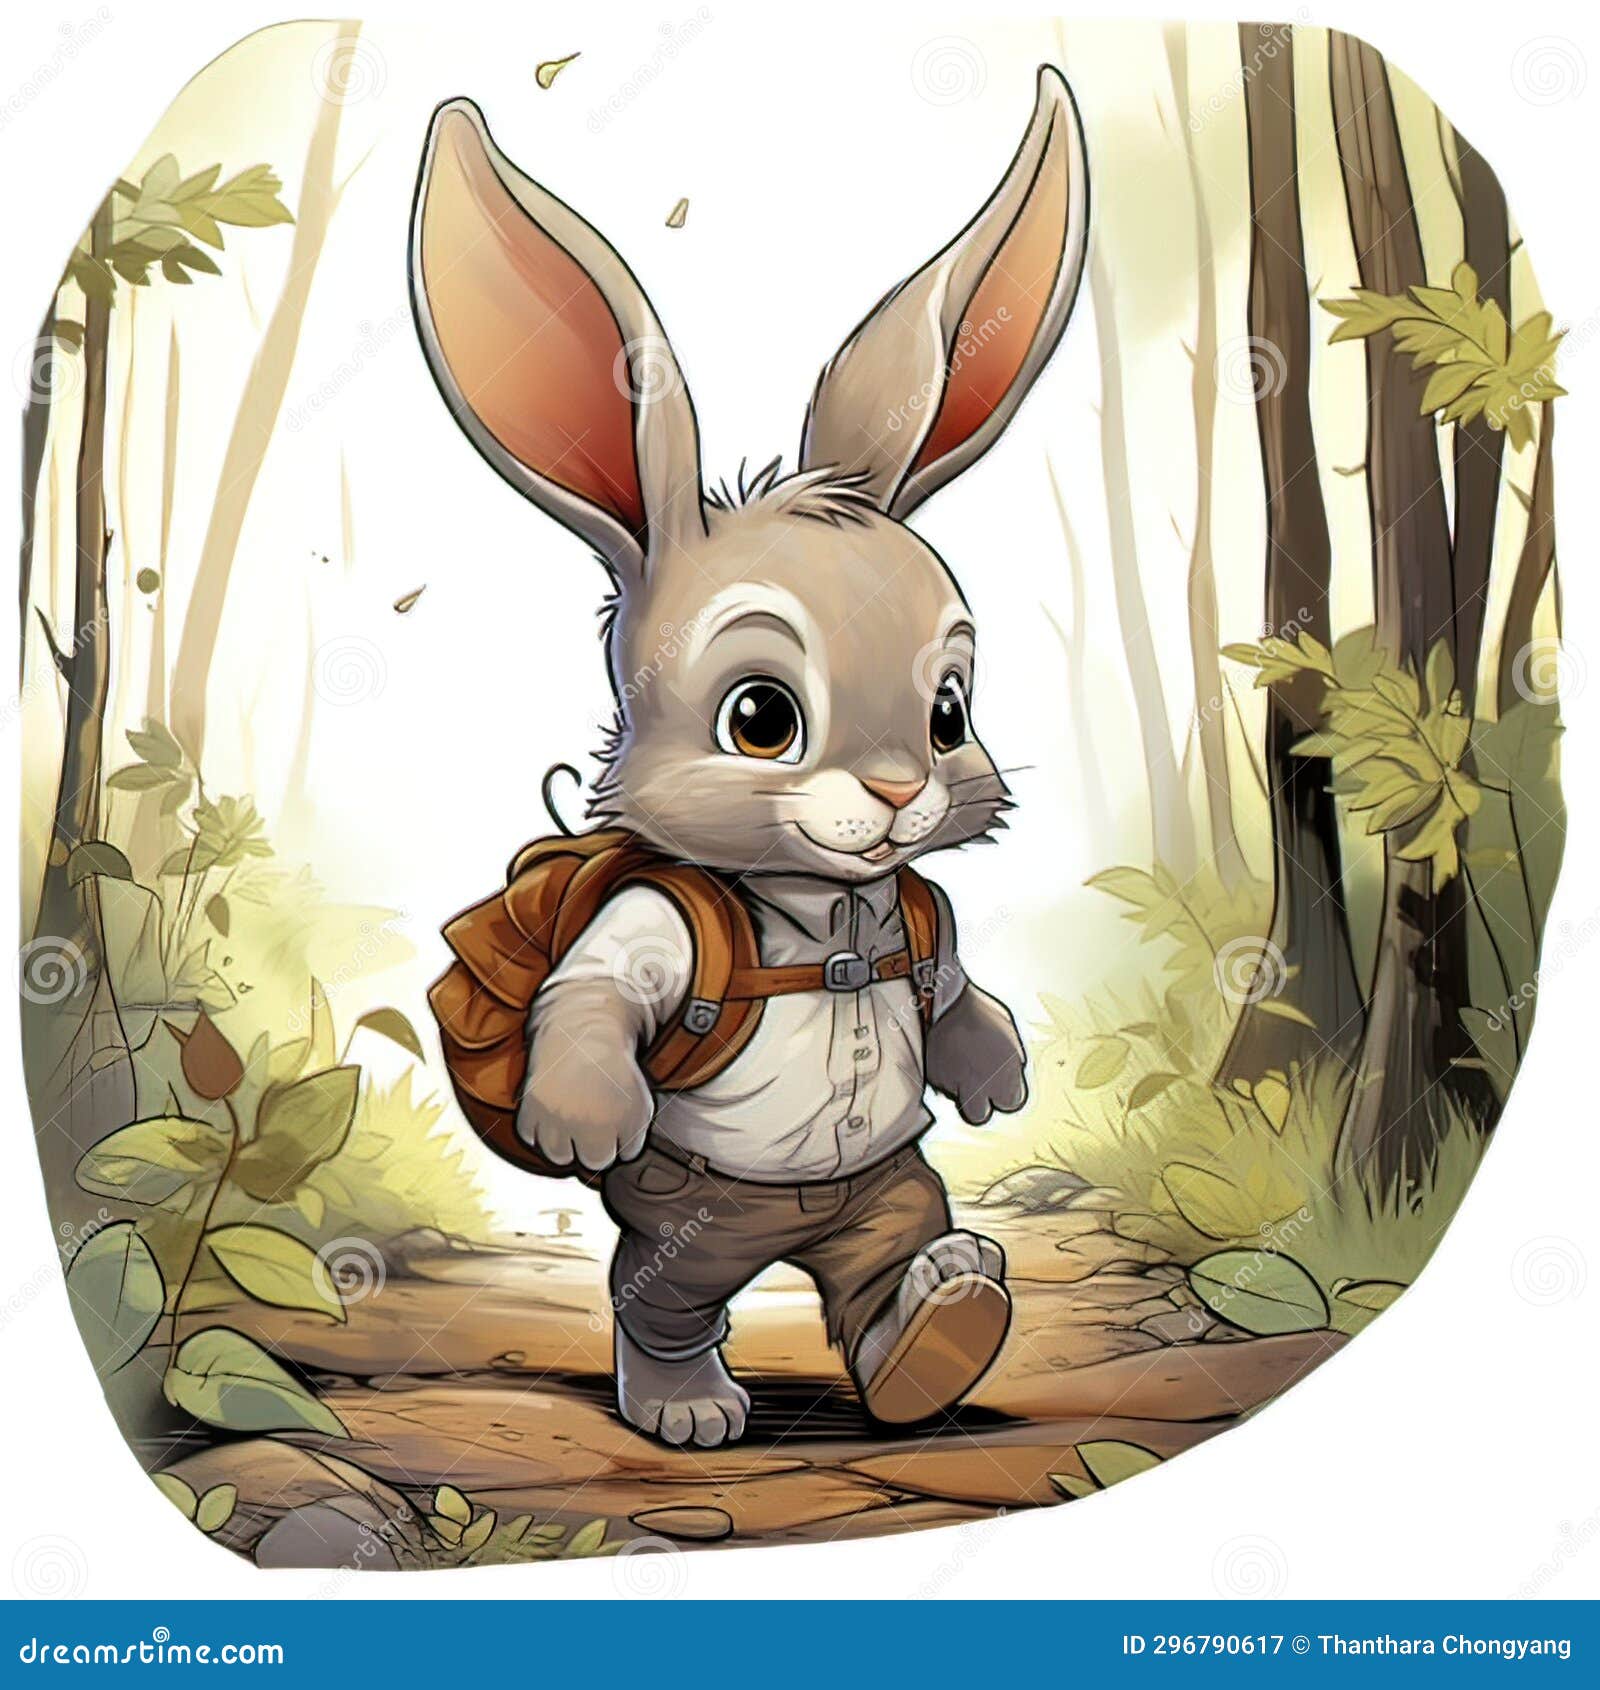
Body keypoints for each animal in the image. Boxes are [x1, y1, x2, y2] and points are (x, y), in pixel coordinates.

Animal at [409, 65, 1089, 1446]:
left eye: (949, 709)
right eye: (761, 718)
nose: (900, 791)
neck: (820, 914)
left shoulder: (919, 928)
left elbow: (948, 987)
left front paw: (995, 1076)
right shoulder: (657, 928)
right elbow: (599, 993)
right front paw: (586, 1115)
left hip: (879, 1188)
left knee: (890, 1245)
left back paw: (941, 1326)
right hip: (701, 1224)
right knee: (659, 1293)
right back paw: (684, 1406)